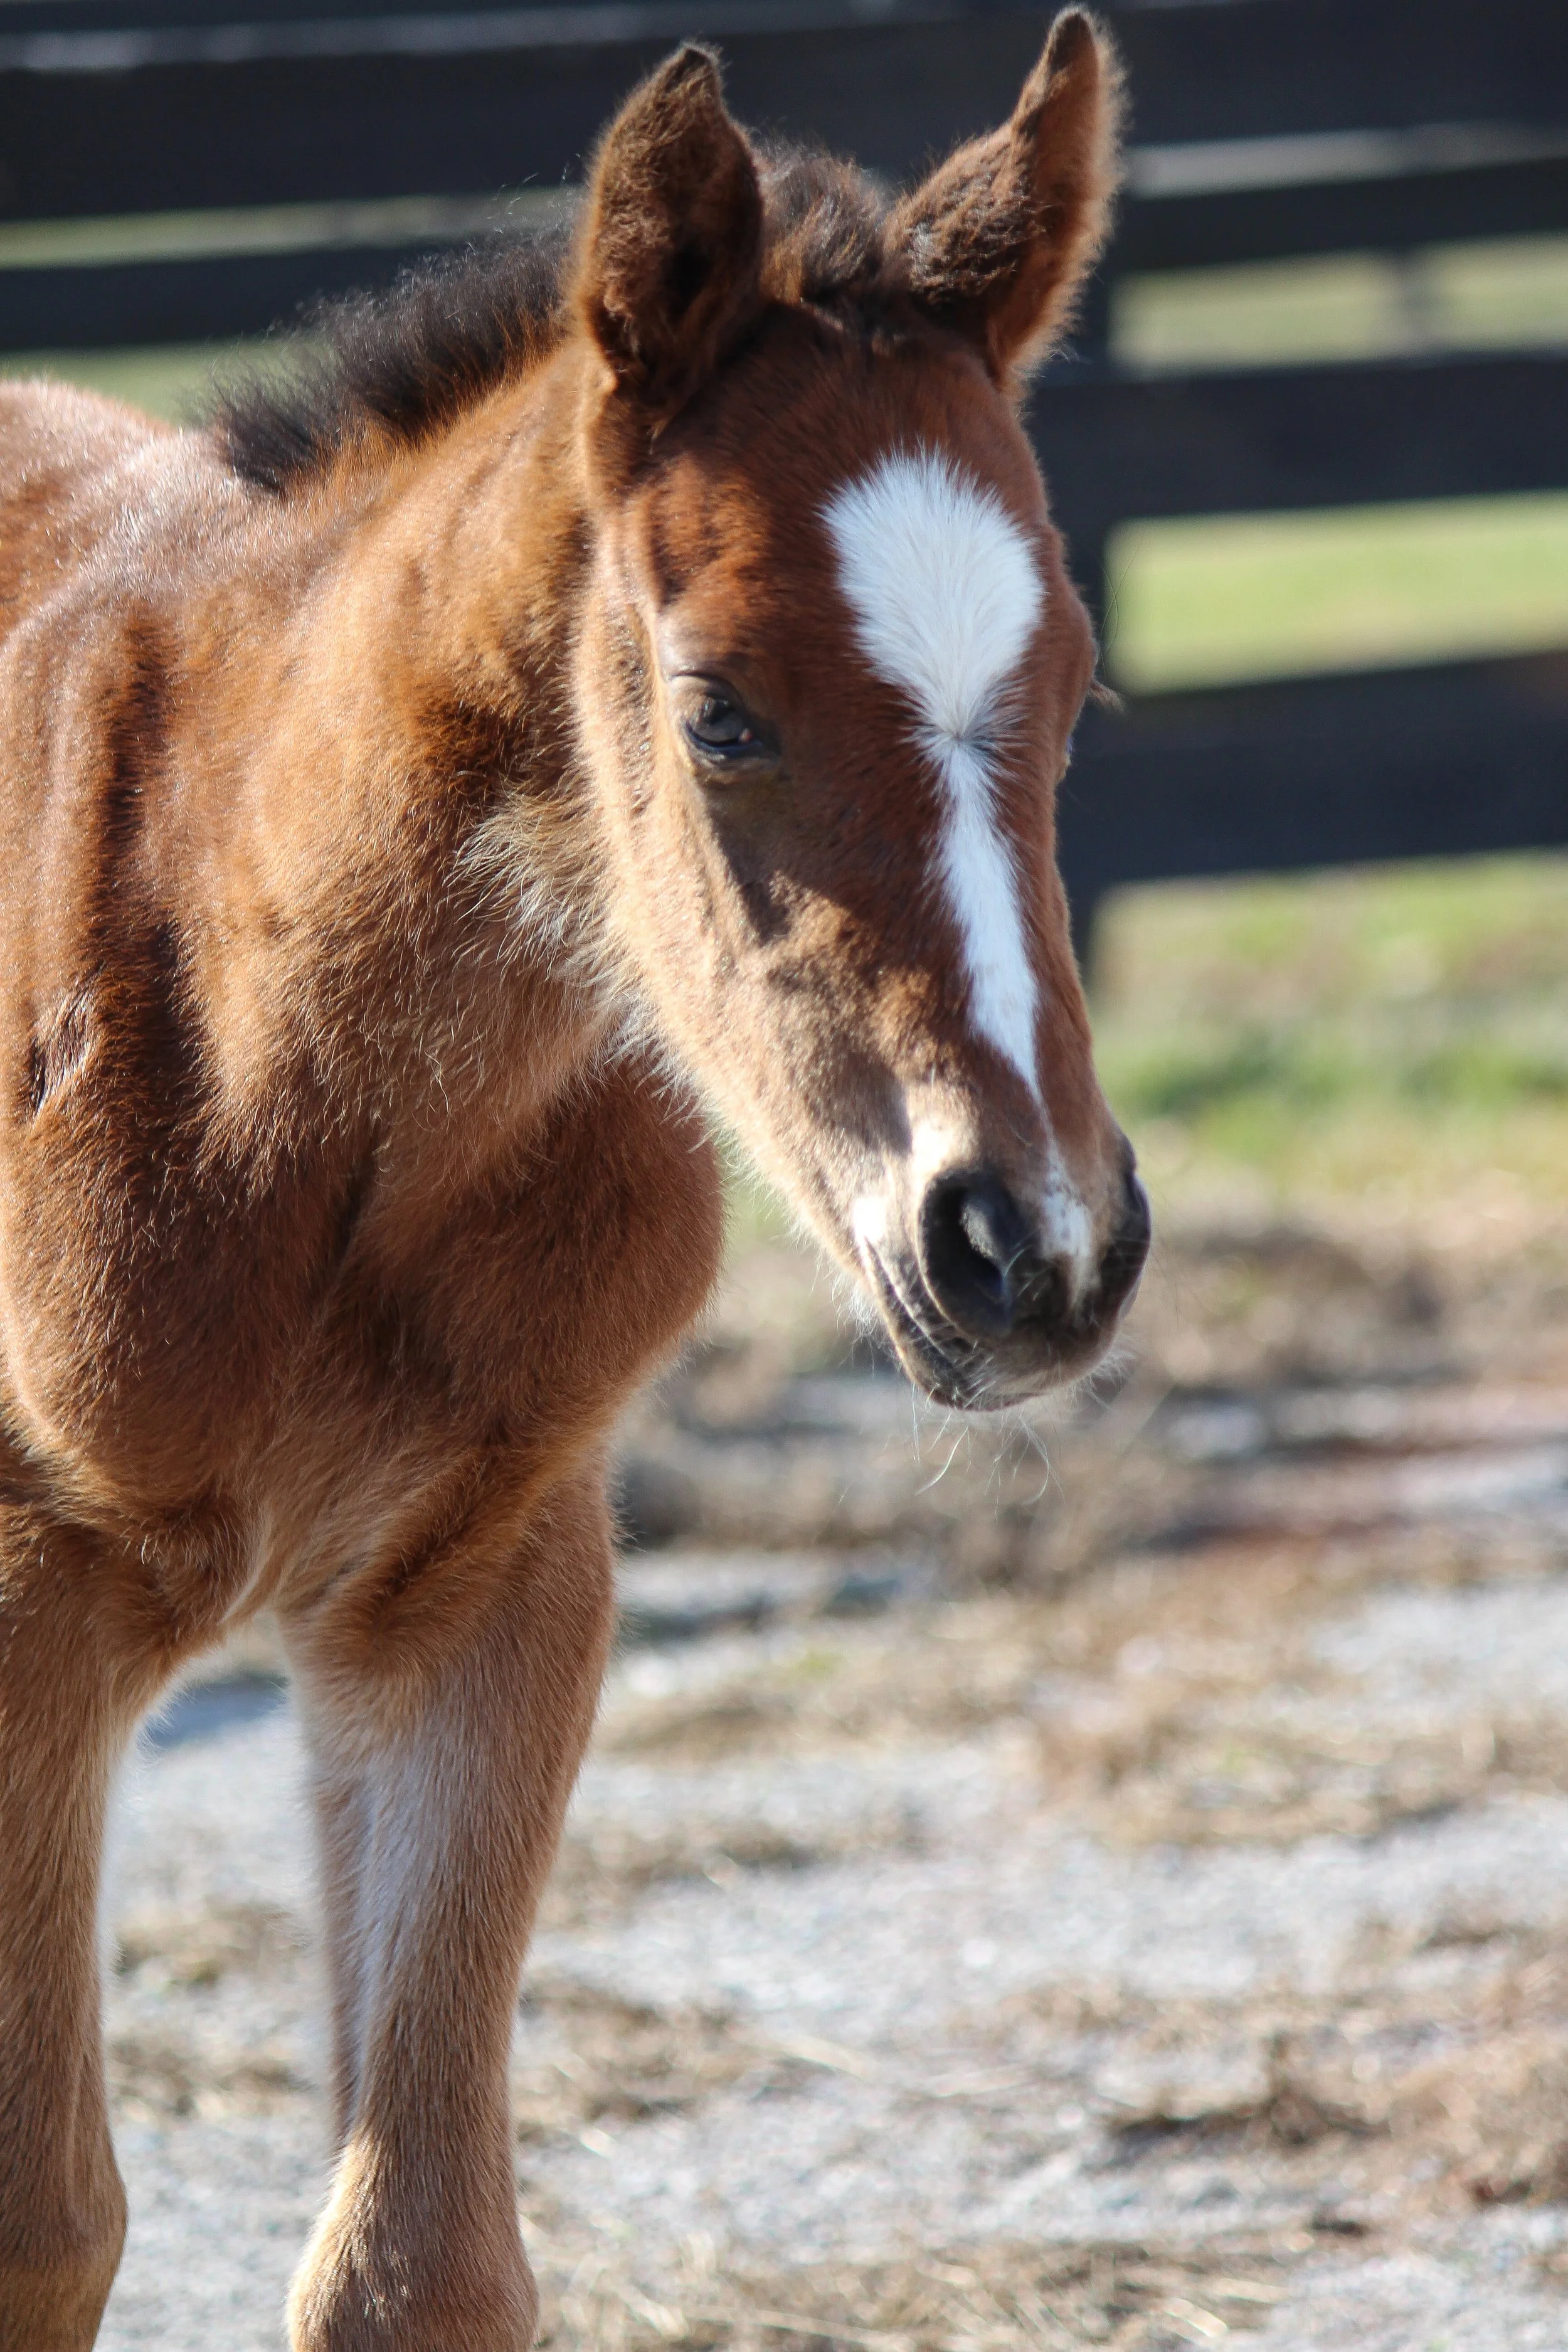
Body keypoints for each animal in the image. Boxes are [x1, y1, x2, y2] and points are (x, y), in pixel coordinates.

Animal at [0, 15, 1147, 2345]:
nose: (1035, 1249)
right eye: (714, 715)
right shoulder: (26, 1587)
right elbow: (39, 2217)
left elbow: (419, 2257)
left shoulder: (487, 1578)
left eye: (1072, 685)